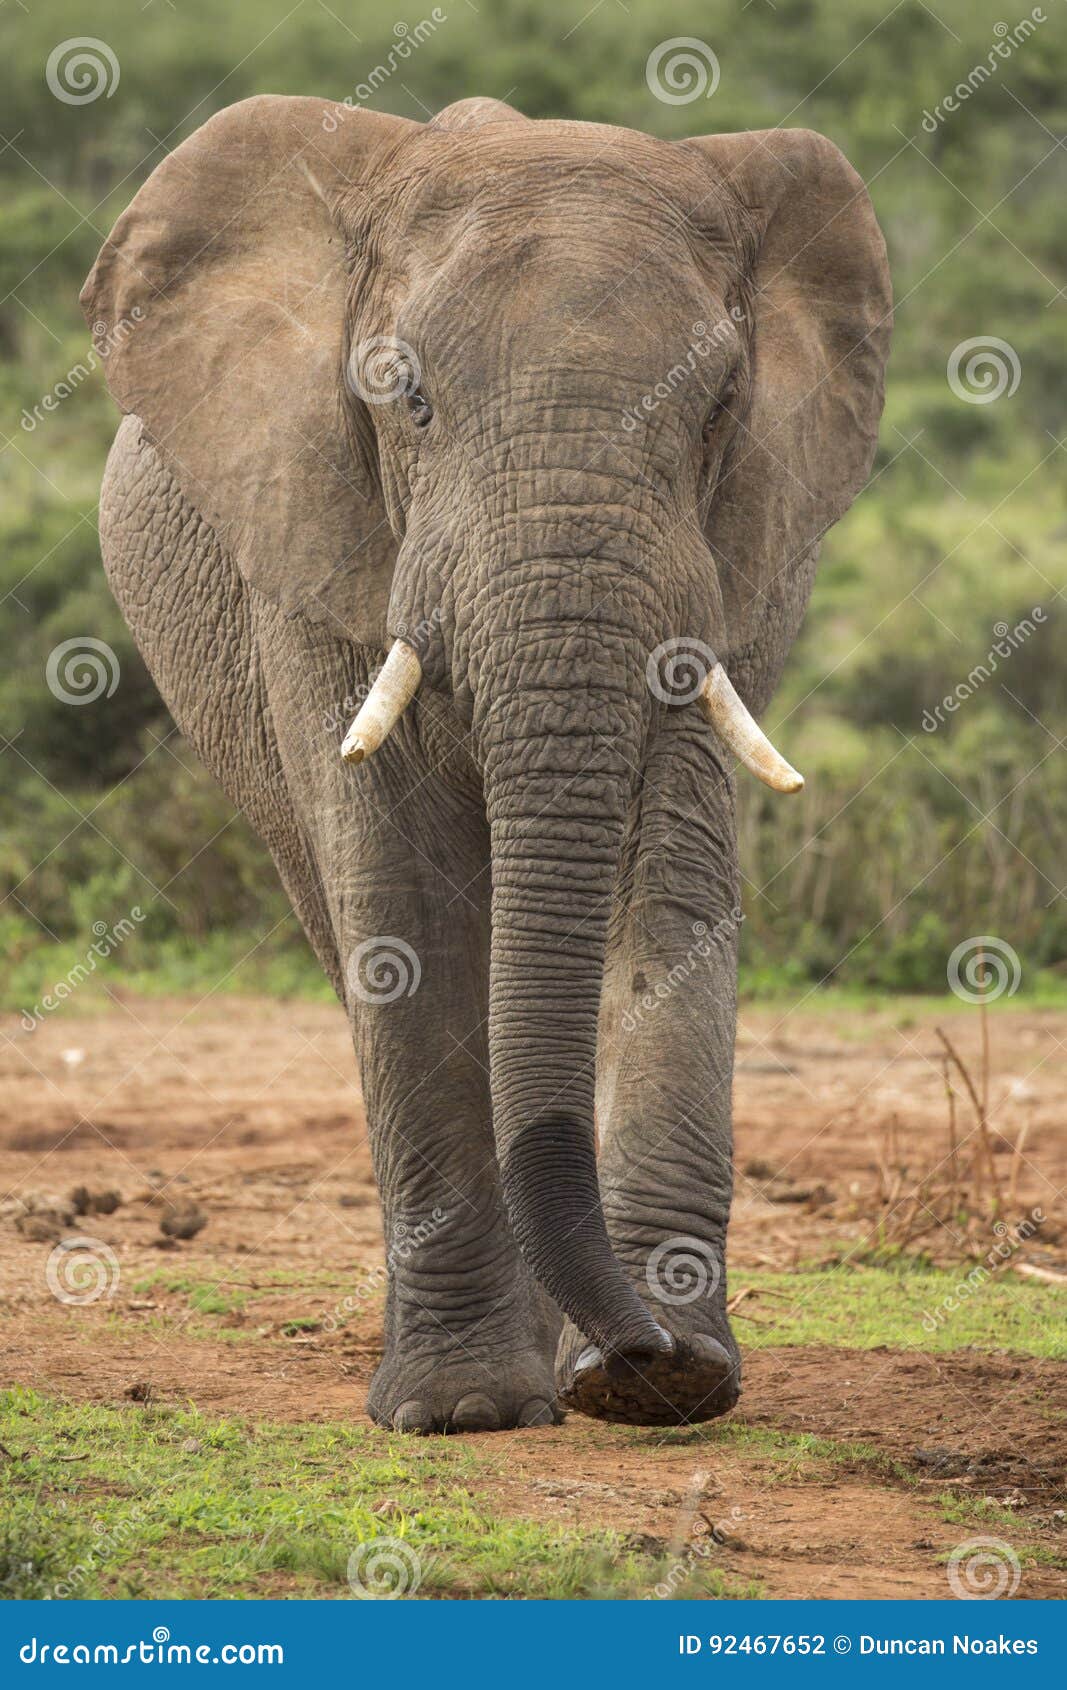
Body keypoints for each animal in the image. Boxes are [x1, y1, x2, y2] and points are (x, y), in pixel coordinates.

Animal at [82, 95, 891, 1433]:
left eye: (719, 404)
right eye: (402, 397)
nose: (644, 1346)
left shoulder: (721, 571)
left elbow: (668, 871)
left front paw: (665, 1383)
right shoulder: (322, 536)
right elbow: (404, 905)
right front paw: (465, 1409)